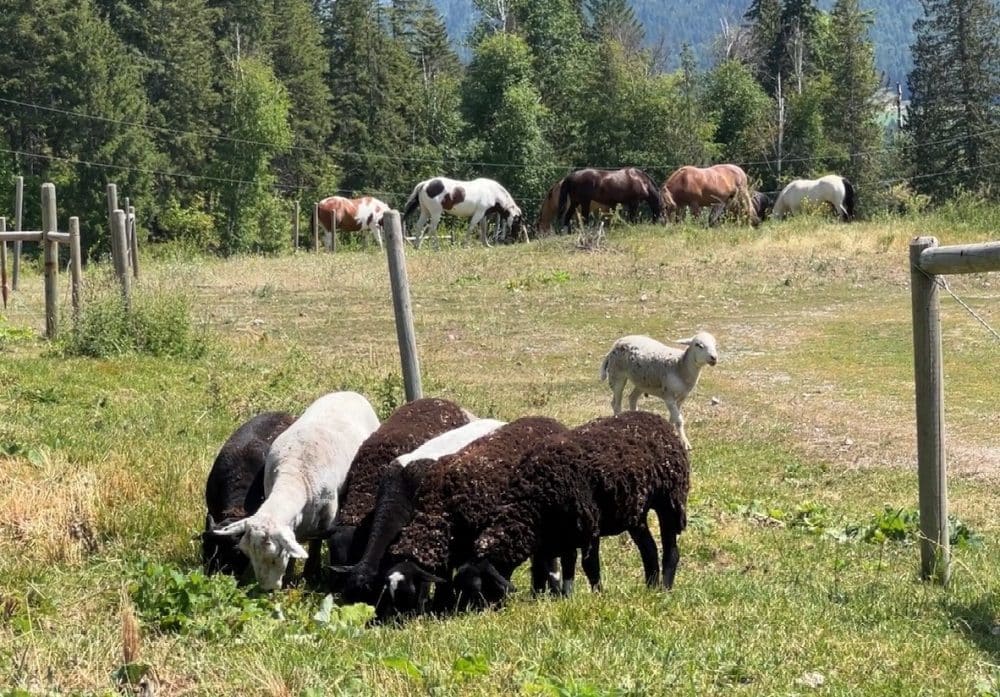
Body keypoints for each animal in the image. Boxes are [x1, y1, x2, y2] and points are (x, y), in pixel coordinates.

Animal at [213, 391, 380, 591]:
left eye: (275, 556)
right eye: (246, 553)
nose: (267, 589)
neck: (294, 476)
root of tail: (349, 392)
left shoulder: (326, 518)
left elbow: (315, 545)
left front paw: (310, 575)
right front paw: (288, 580)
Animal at [457, 410, 690, 602]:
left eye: (478, 588)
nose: (474, 614)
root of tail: (656, 418)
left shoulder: (587, 525)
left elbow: (589, 566)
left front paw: (596, 595)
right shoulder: (559, 534)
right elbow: (554, 567)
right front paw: (557, 597)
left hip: (670, 500)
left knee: (671, 551)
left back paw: (665, 590)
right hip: (635, 511)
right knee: (648, 549)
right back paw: (651, 588)